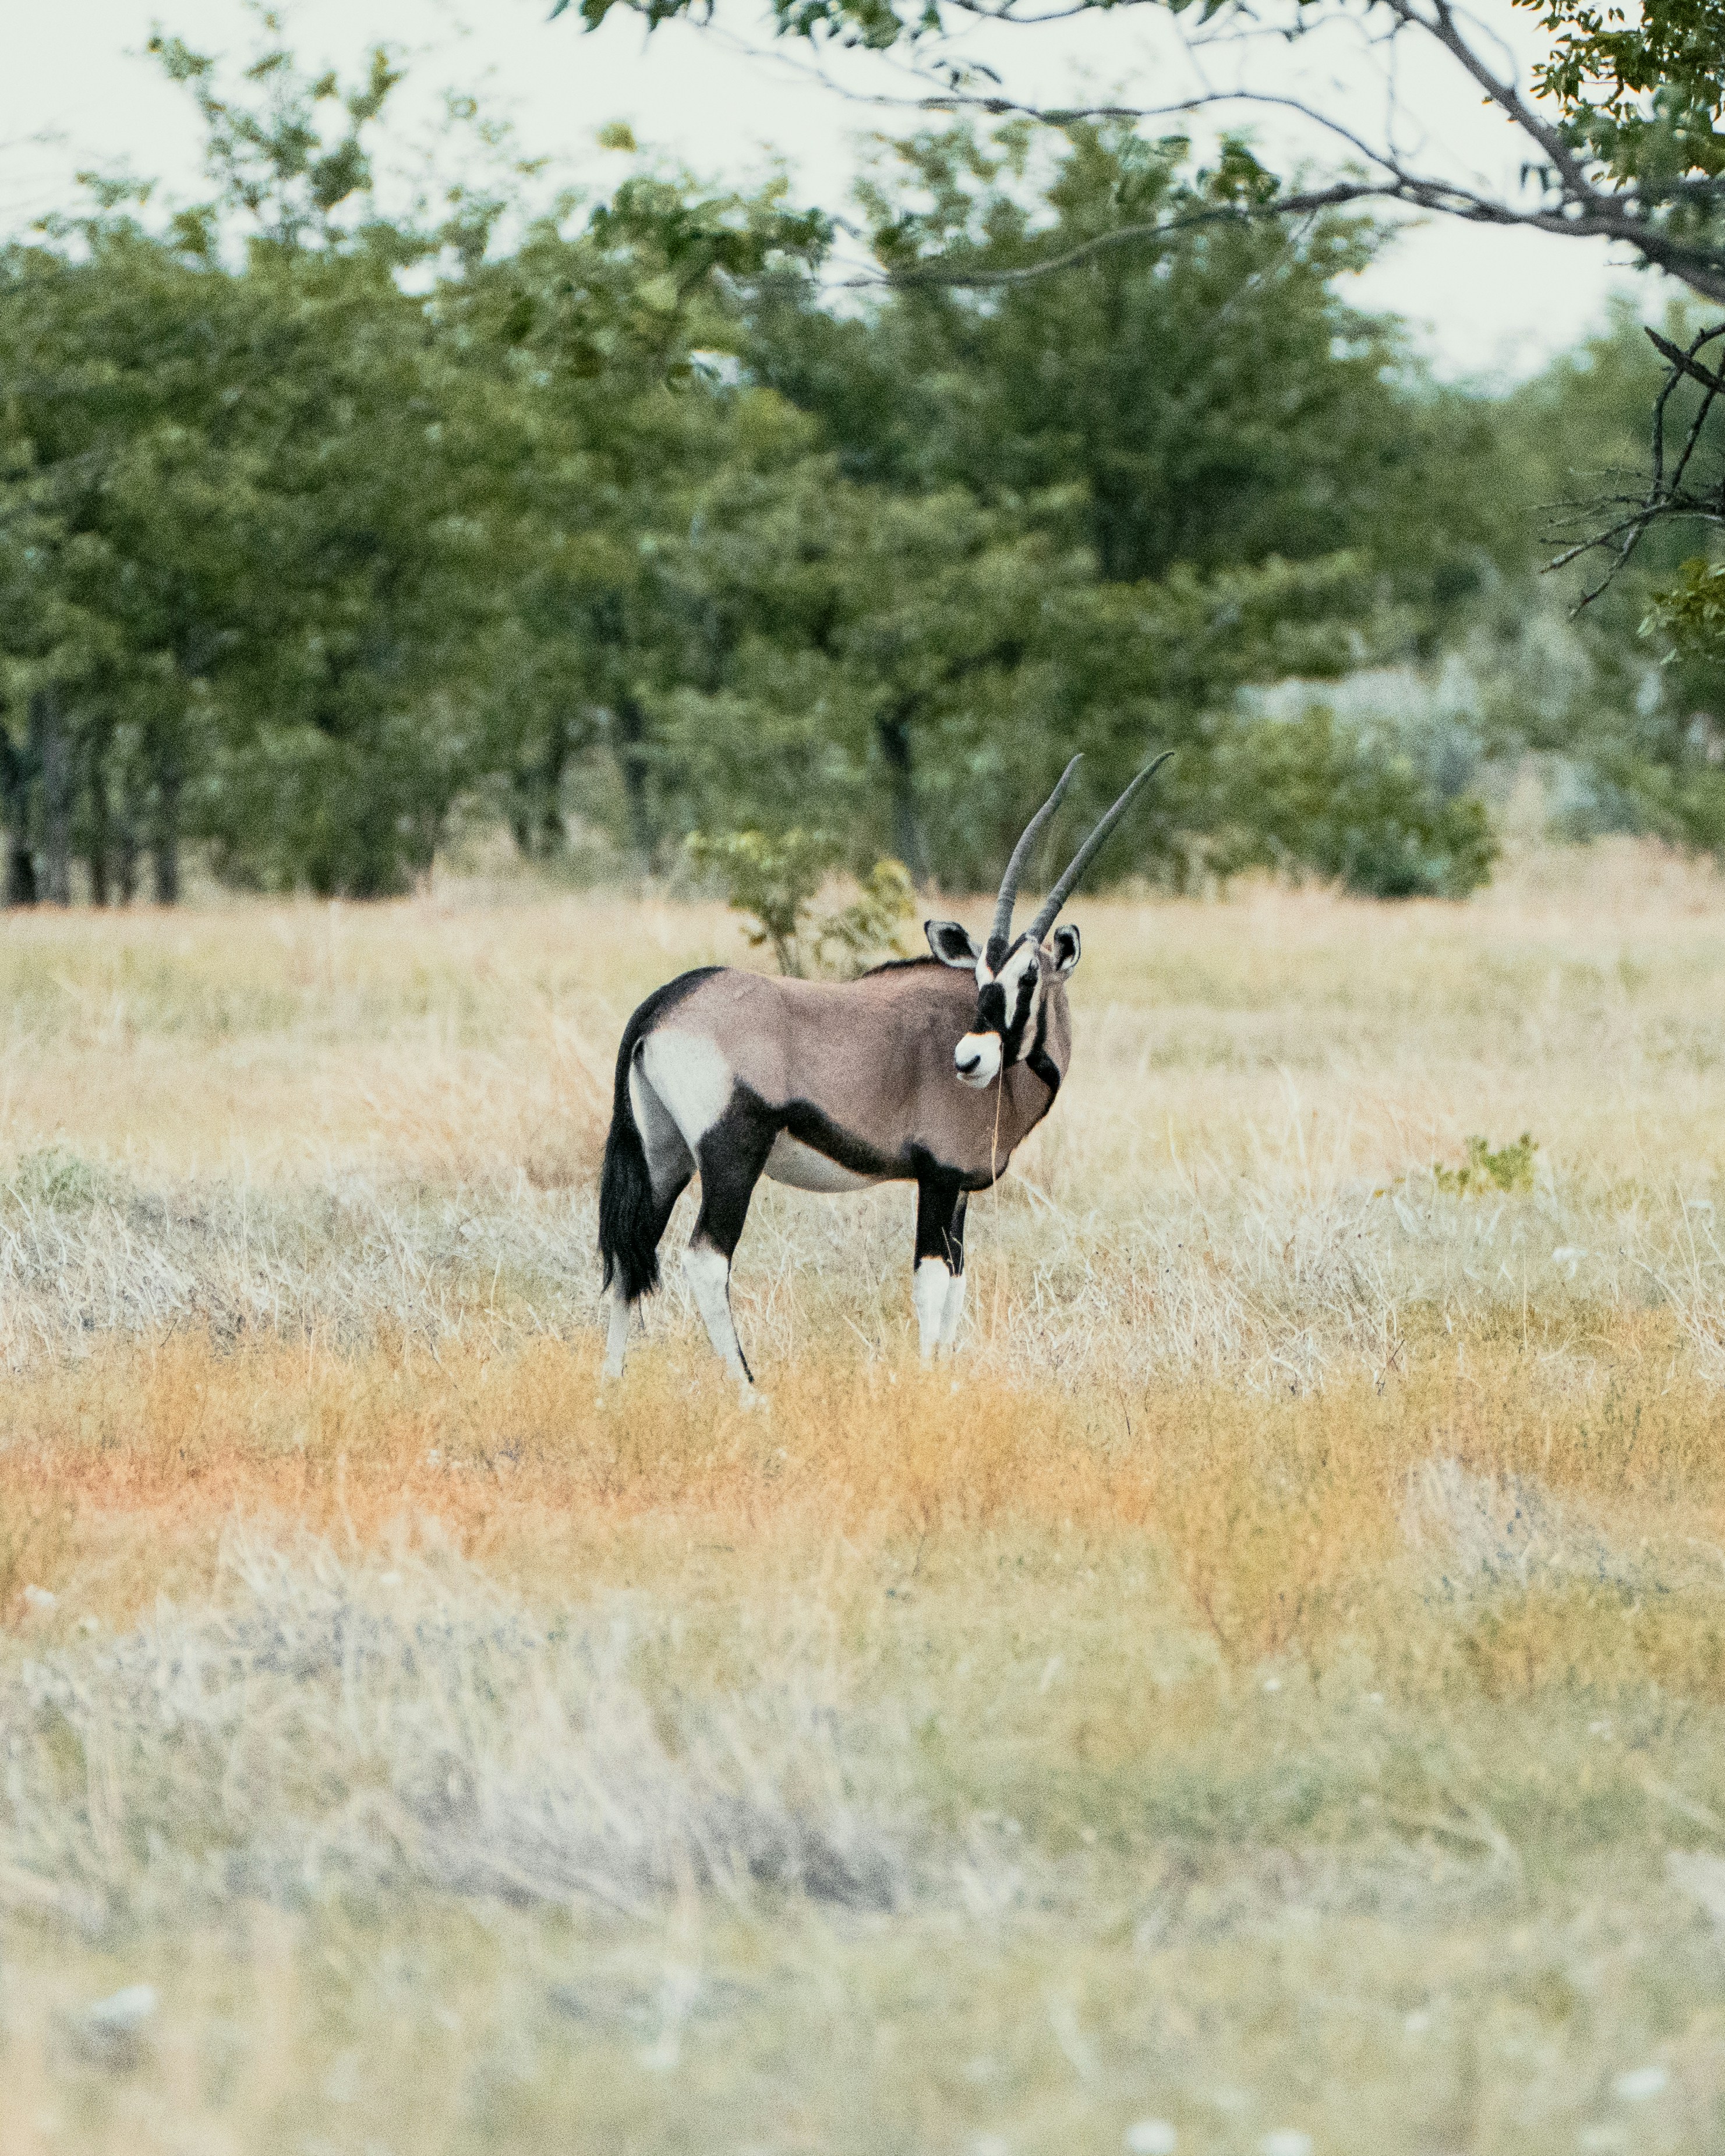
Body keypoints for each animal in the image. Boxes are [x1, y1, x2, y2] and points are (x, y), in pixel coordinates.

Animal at [597, 749, 1171, 1390]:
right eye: (983, 975)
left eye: (1027, 976)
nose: (968, 1058)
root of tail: (665, 1003)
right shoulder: (937, 1177)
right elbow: (932, 1283)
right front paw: (927, 1381)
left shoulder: (960, 1188)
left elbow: (958, 1284)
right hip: (730, 1155)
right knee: (704, 1259)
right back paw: (751, 1393)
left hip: (663, 1155)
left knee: (630, 1254)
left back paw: (611, 1390)